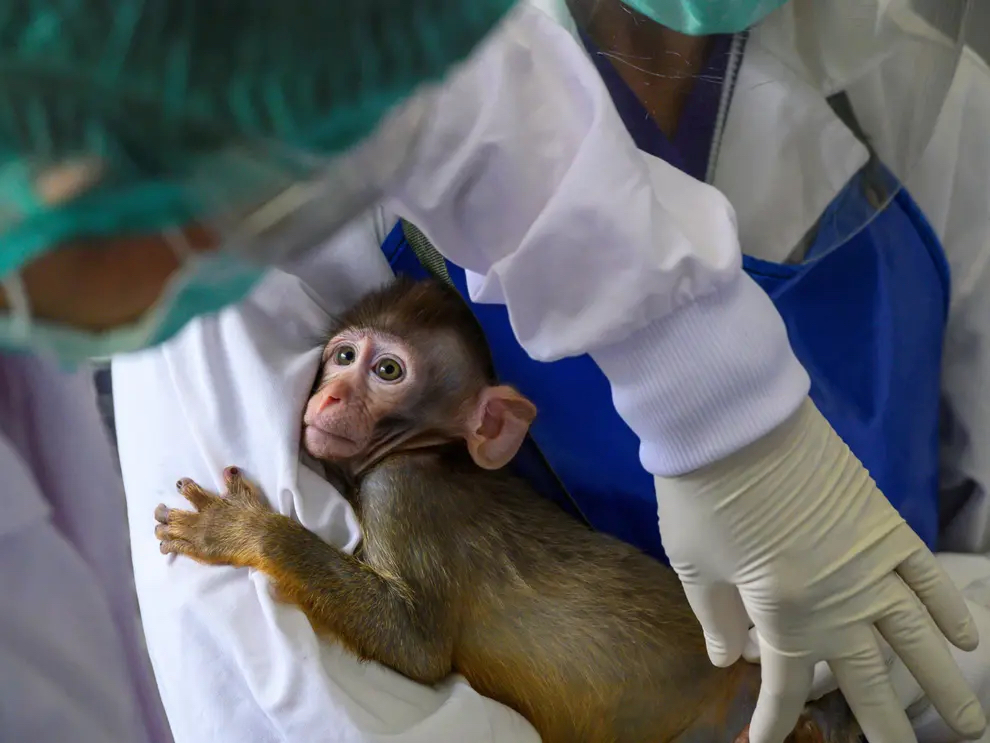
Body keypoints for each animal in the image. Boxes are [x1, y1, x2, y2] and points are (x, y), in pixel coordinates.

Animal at [154, 276, 860, 743]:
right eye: (343, 356)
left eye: (387, 371)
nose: (327, 397)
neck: (432, 452)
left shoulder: (400, 493)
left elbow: (416, 646)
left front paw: (242, 530)